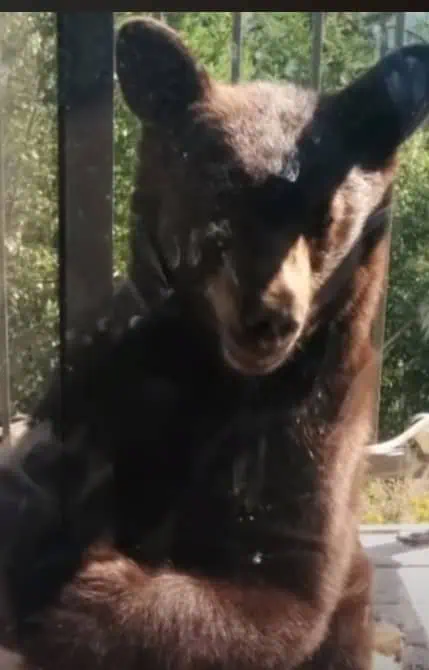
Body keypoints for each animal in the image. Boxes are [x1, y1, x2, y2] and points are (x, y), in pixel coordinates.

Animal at [1, 15, 429, 670]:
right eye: (220, 204)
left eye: (325, 220)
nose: (269, 319)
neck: (215, 375)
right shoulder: (120, 372)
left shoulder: (316, 421)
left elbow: (270, 595)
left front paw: (44, 545)